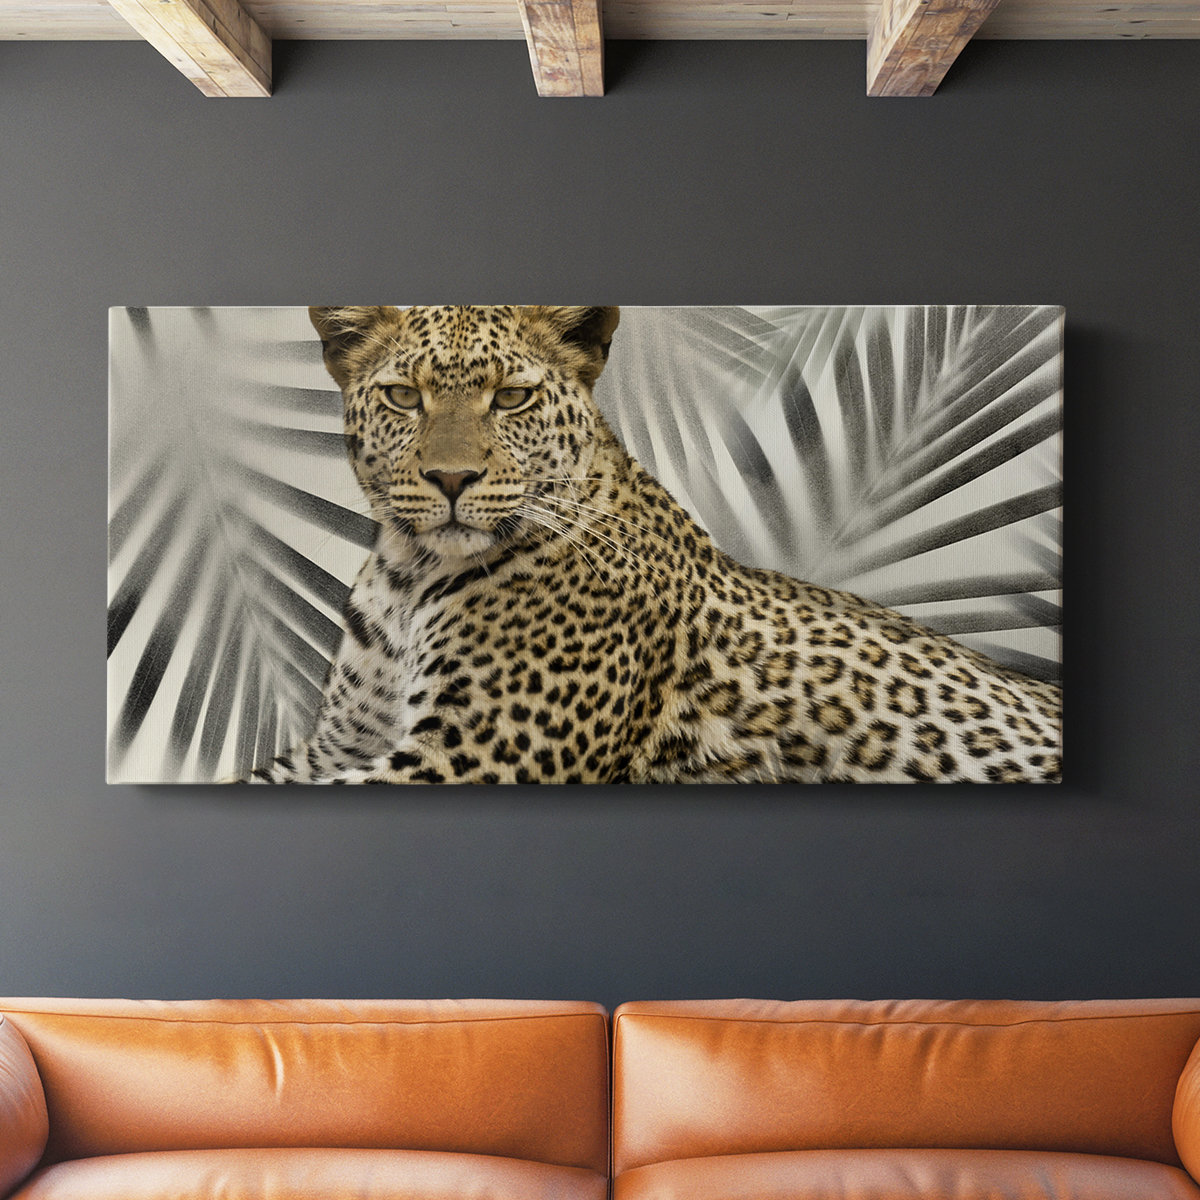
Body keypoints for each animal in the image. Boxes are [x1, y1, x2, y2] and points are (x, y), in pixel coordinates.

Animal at [244, 304, 1061, 785]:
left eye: (511, 398)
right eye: (402, 397)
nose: (451, 478)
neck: (411, 576)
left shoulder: (472, 758)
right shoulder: (336, 749)